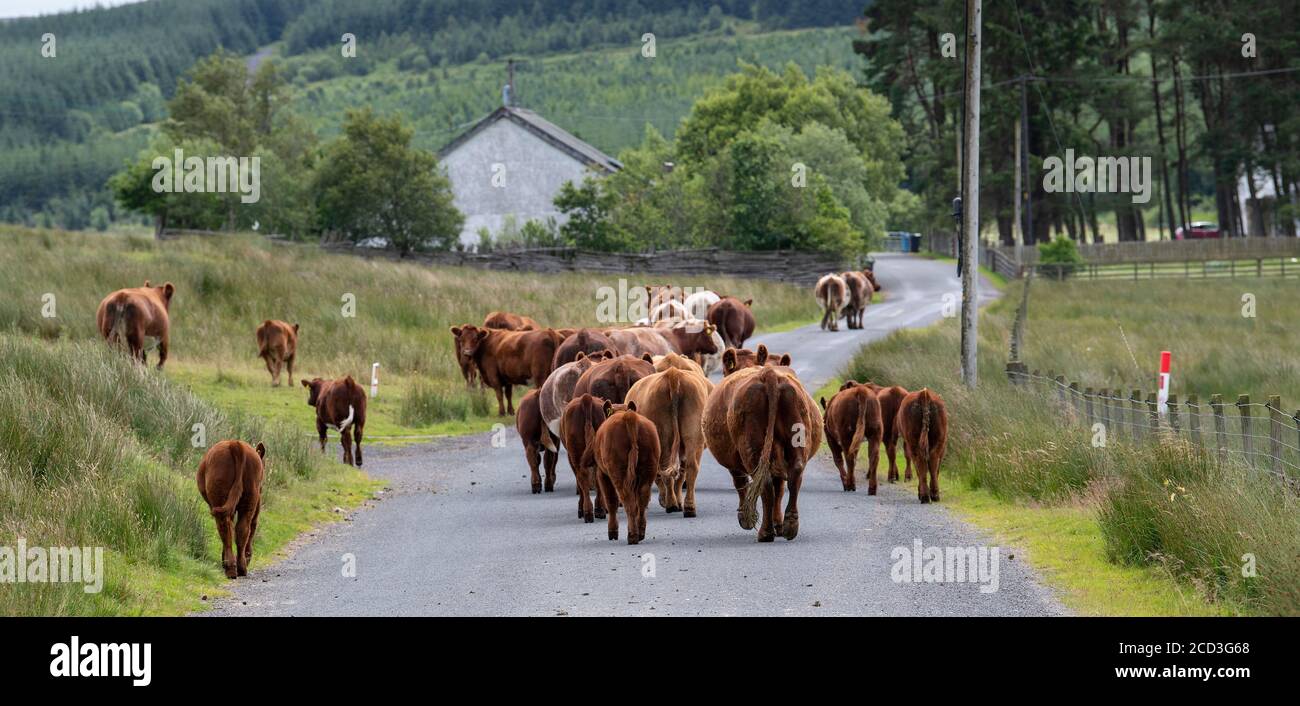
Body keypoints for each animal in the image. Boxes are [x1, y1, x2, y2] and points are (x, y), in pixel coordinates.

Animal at [196, 440, 266, 578]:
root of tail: (235, 444)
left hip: (221, 498)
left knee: (226, 527)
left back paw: (232, 567)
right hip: (249, 498)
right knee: (241, 528)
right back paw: (240, 567)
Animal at [560, 393, 609, 523]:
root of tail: (586, 398)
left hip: (575, 456)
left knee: (582, 479)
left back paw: (587, 512)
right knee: (597, 478)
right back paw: (599, 510)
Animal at [586, 399, 660, 544]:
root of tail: (629, 416)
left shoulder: (602, 474)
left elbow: (611, 501)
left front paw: (612, 532)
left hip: (618, 472)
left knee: (626, 499)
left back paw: (632, 535)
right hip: (648, 469)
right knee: (642, 499)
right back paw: (640, 532)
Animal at [626, 366, 710, 517]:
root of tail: (673, 374)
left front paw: (666, 500)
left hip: (663, 436)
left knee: (666, 469)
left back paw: (671, 504)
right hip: (694, 435)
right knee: (690, 467)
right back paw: (688, 507)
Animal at [702, 365, 822, 541]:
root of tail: (768, 373)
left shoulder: (734, 463)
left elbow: (741, 483)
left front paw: (745, 518)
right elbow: (779, 489)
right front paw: (778, 524)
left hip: (751, 446)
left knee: (765, 484)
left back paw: (765, 532)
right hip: (796, 437)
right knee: (795, 473)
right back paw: (790, 525)